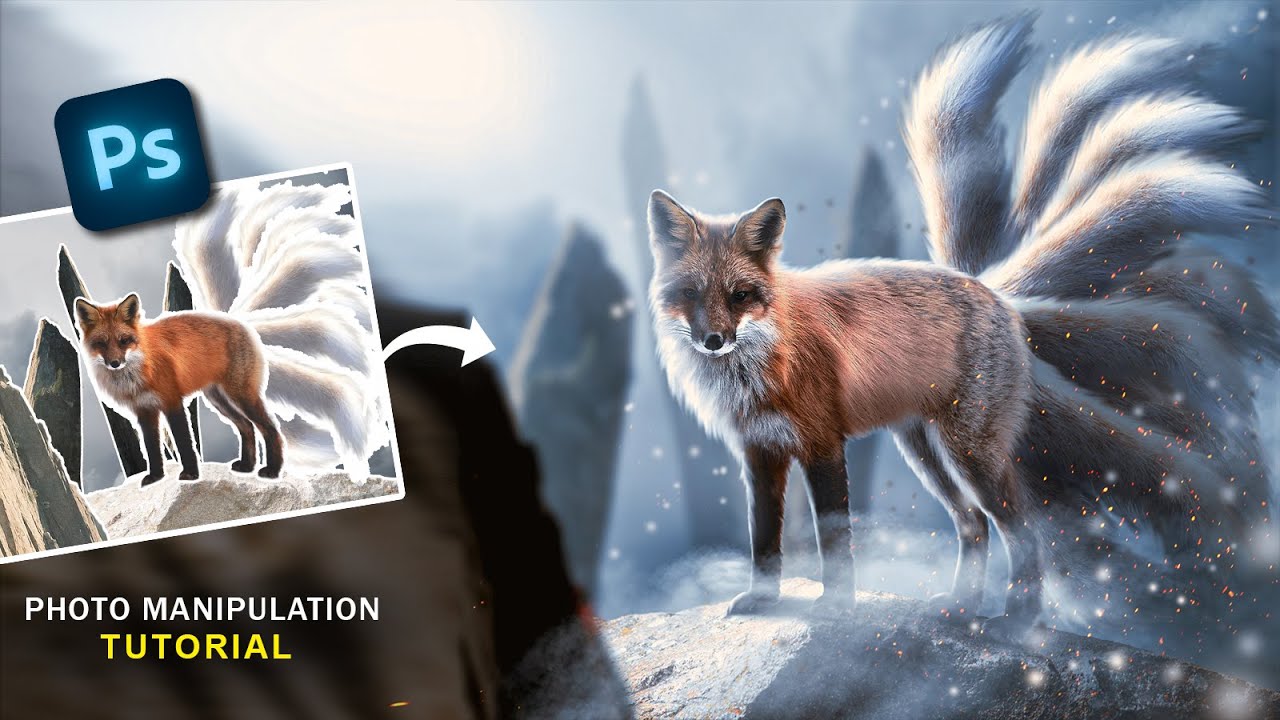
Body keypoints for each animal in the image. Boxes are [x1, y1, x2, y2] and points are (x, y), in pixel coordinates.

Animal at [75, 294, 282, 484]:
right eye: (101, 343)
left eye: (123, 341)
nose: (115, 363)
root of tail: (242, 325)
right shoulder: (144, 410)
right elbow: (152, 448)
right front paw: (156, 477)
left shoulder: (172, 401)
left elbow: (183, 442)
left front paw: (190, 474)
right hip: (218, 400)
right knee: (246, 426)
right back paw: (247, 466)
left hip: (241, 396)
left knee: (270, 427)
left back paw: (273, 470)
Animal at [650, 15, 1277, 638]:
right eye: (692, 296)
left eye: (741, 295)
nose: (713, 341)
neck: (757, 366)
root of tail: (996, 292)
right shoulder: (760, 454)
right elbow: (764, 541)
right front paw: (763, 601)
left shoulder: (823, 446)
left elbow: (835, 542)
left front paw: (836, 608)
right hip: (925, 450)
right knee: (973, 525)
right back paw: (956, 607)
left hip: (969, 452)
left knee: (1021, 530)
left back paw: (1016, 618)